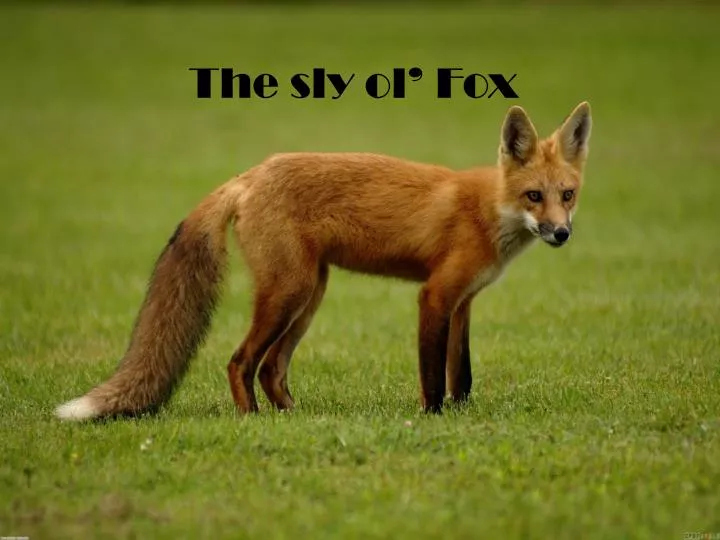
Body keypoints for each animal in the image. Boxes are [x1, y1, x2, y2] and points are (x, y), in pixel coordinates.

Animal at [55, 102, 592, 421]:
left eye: (567, 195)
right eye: (533, 196)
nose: (562, 233)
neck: (488, 211)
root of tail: (249, 175)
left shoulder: (463, 302)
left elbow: (462, 373)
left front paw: (462, 416)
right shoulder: (435, 296)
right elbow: (433, 377)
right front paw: (432, 419)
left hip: (310, 295)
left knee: (271, 368)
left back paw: (292, 417)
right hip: (288, 293)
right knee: (240, 361)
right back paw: (251, 420)